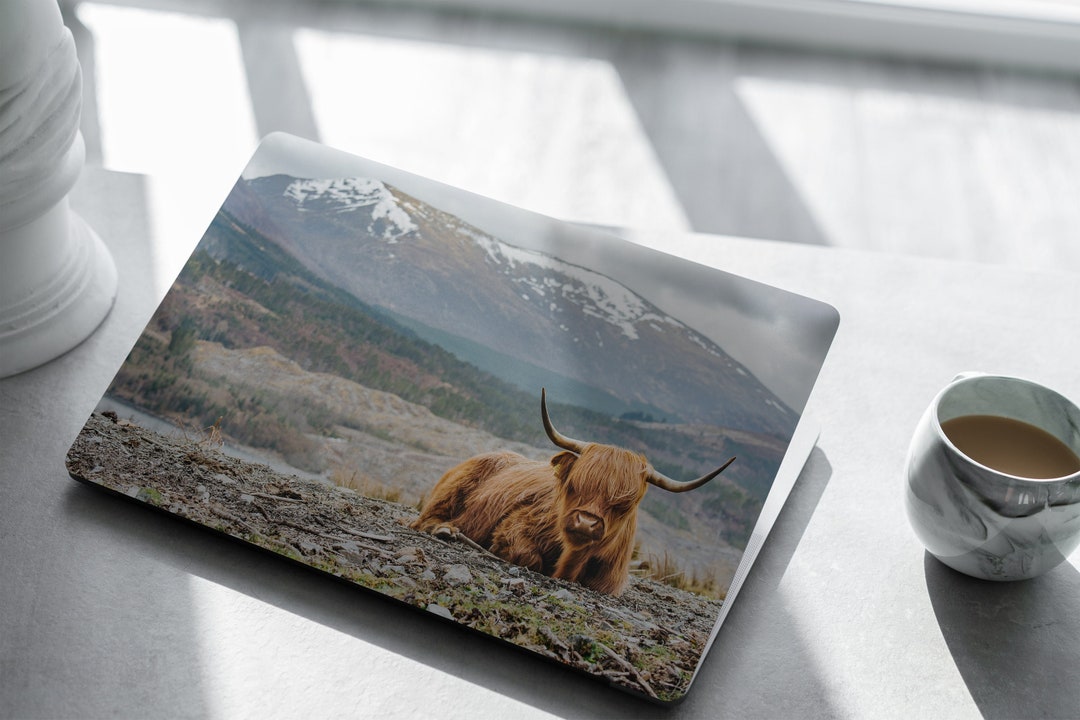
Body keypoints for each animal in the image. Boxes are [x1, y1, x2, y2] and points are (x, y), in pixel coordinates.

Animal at [411, 389, 735, 595]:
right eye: (575, 484)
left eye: (625, 504)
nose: (585, 522)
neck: (572, 560)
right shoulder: (514, 526)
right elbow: (526, 556)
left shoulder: (609, 582)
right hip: (451, 491)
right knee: (424, 519)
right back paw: (445, 530)